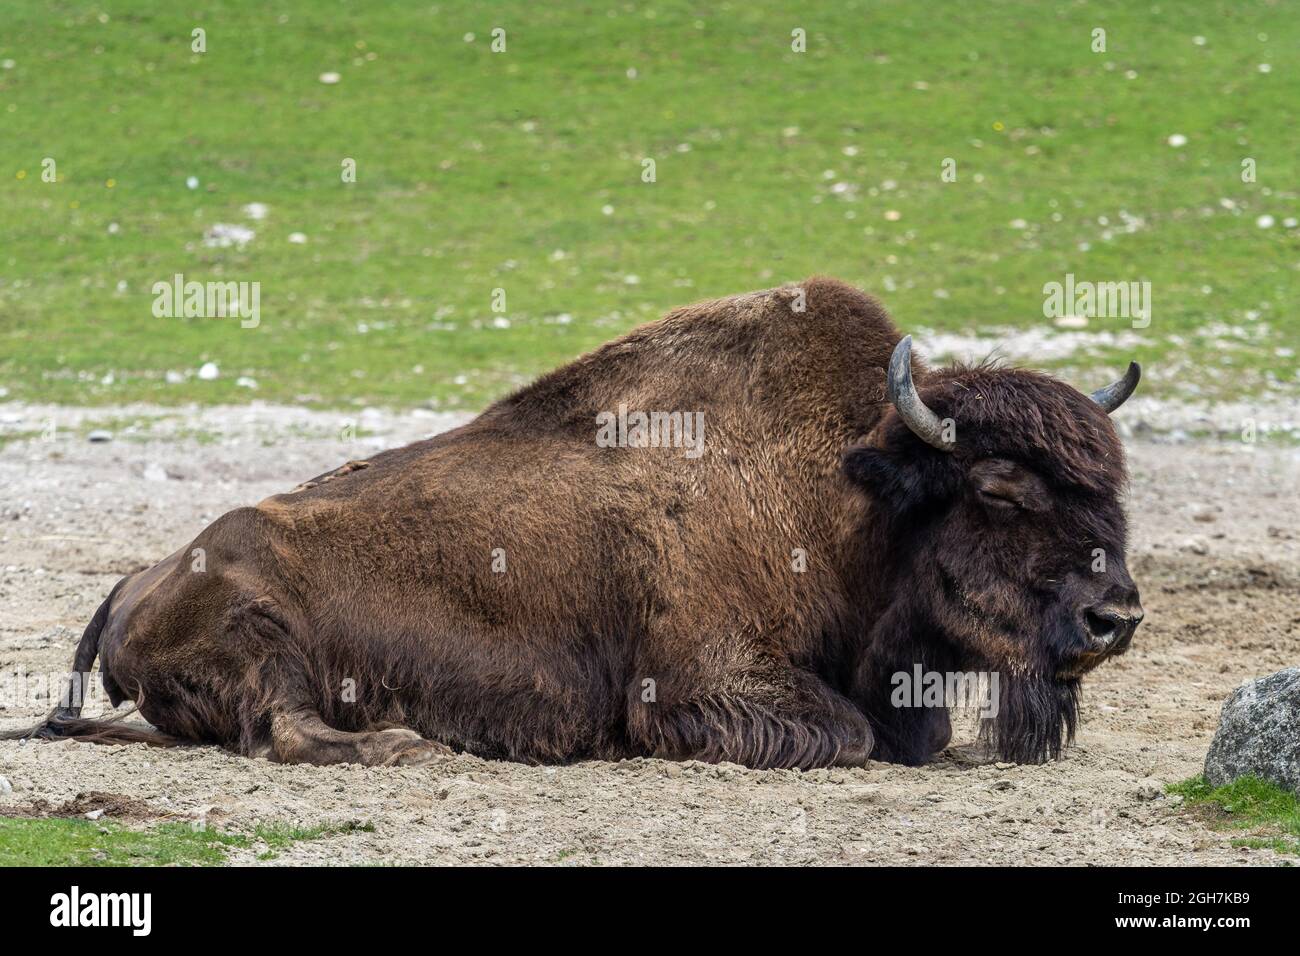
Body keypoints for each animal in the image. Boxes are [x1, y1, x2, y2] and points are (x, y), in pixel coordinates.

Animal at [9, 278, 1144, 768]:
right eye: (998, 488)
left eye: (1111, 491)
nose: (1117, 617)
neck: (844, 491)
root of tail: (138, 580)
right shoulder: (708, 682)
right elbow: (850, 732)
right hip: (262, 632)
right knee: (287, 728)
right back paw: (407, 741)